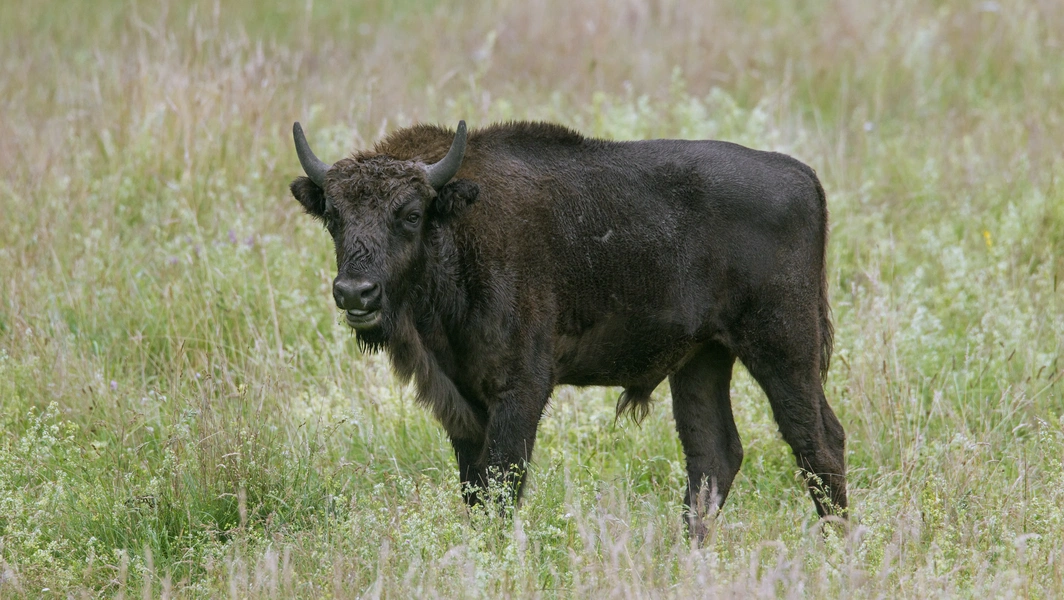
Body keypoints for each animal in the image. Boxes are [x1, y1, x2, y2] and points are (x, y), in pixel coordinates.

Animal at [289, 119, 847, 540]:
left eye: (409, 214)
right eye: (333, 215)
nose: (355, 293)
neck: (459, 224)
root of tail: (805, 177)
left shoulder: (520, 392)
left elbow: (502, 485)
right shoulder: (463, 406)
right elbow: (476, 489)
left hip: (783, 350)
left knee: (818, 442)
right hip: (702, 359)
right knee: (714, 454)